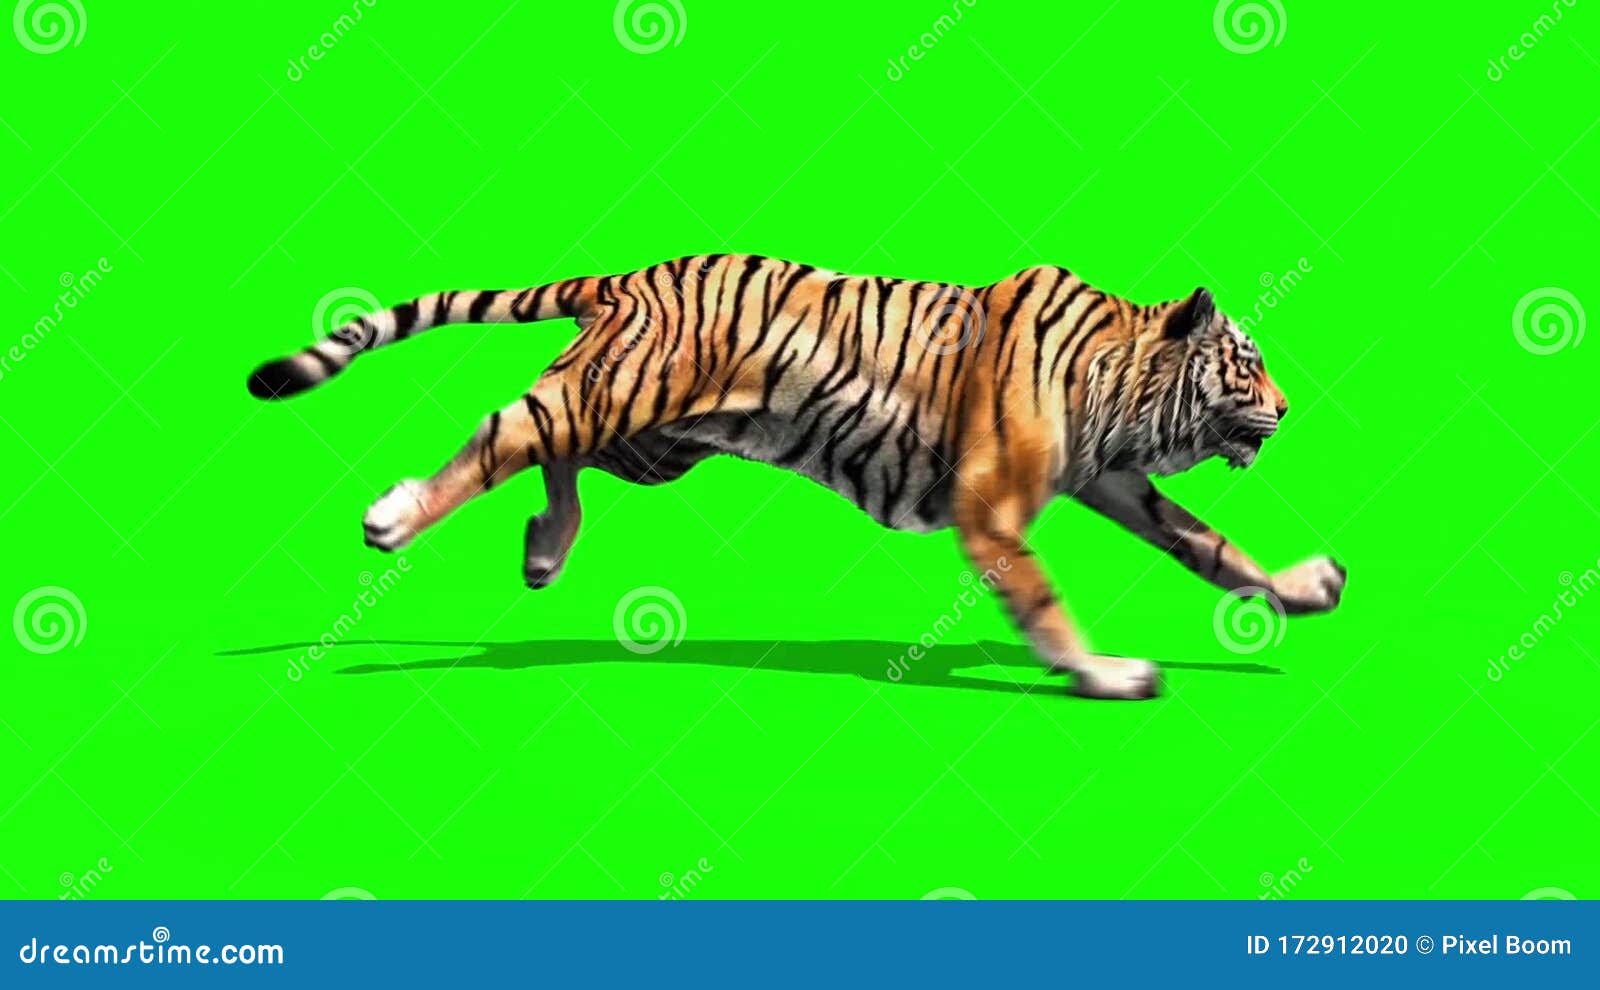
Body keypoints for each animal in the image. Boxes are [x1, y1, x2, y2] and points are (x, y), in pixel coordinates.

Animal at [247, 254, 1346, 700]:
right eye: (1248, 365)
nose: (1292, 408)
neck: (1122, 392)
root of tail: (630, 275)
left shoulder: (1115, 483)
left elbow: (1211, 547)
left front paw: (1303, 587)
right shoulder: (991, 509)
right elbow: (1045, 603)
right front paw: (1105, 674)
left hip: (651, 440)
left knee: (550, 451)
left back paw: (543, 552)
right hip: (620, 396)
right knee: (507, 427)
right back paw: (395, 517)